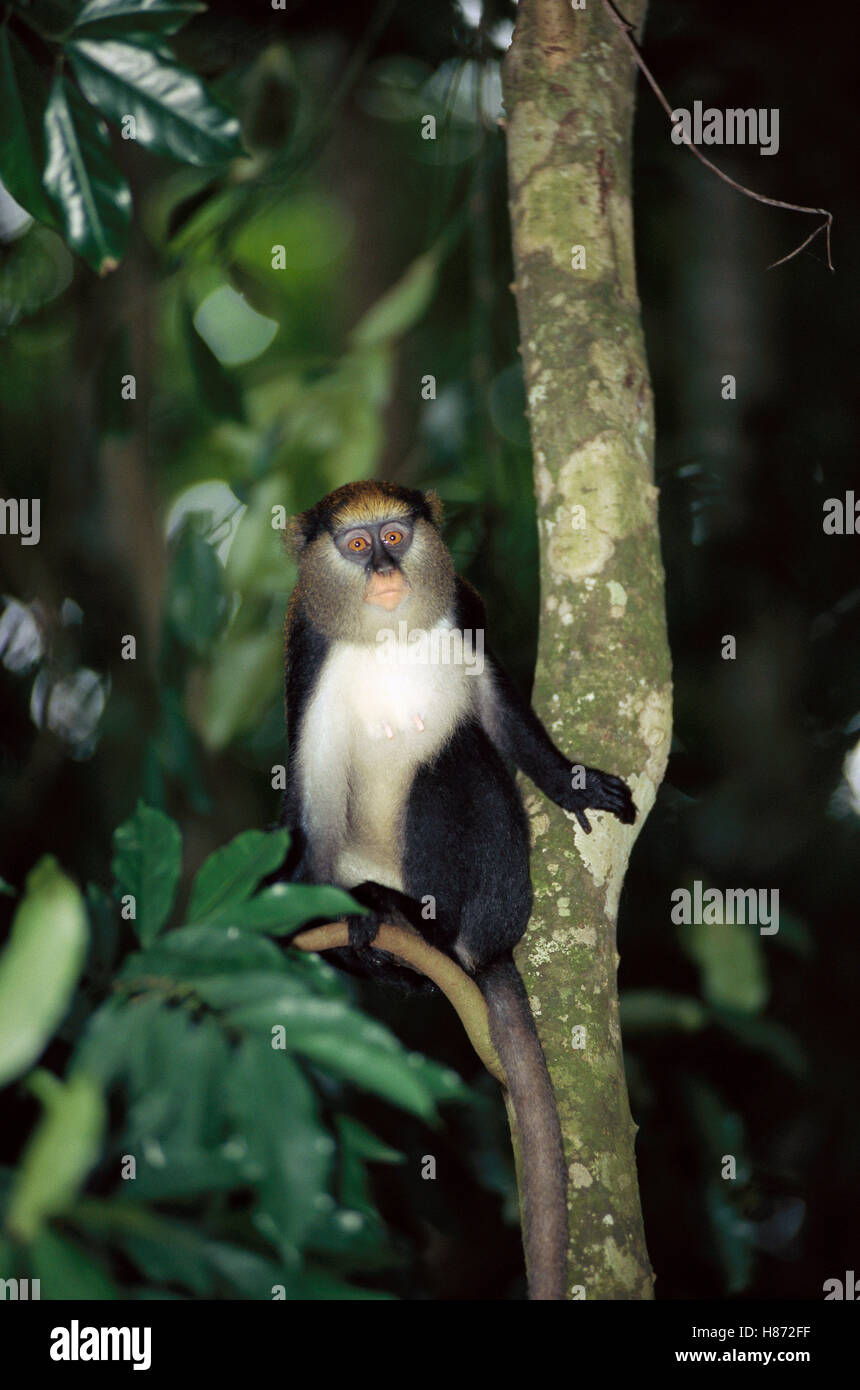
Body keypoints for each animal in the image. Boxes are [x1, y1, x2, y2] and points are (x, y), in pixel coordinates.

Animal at [278, 480, 636, 1301]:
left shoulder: (464, 610)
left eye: (396, 537)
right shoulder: (308, 655)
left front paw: (573, 784)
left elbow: (499, 715)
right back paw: (380, 935)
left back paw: (423, 924)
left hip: (497, 897)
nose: (384, 570)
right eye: (355, 546)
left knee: (457, 755)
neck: (386, 630)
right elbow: (306, 814)